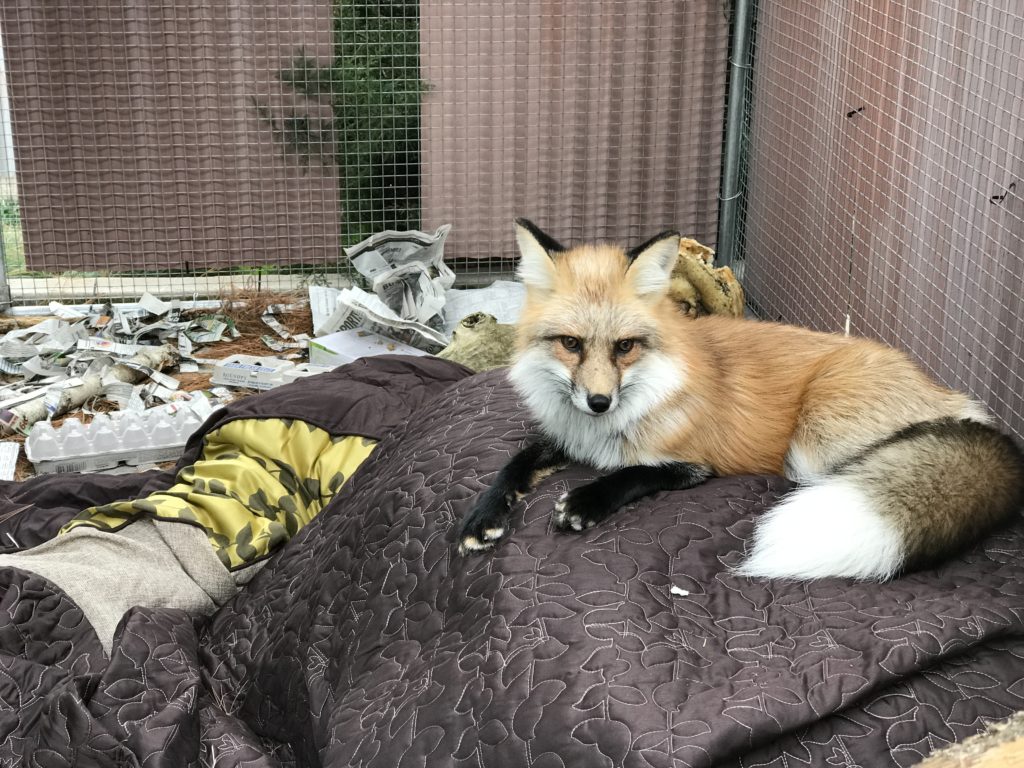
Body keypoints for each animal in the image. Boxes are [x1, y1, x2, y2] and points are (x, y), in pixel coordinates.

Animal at [456, 219, 1024, 580]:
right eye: (571, 344)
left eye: (625, 346)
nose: (599, 402)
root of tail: (968, 409)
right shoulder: (563, 436)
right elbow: (514, 464)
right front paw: (482, 517)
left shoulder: (691, 463)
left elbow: (630, 474)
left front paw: (584, 502)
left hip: (812, 443)